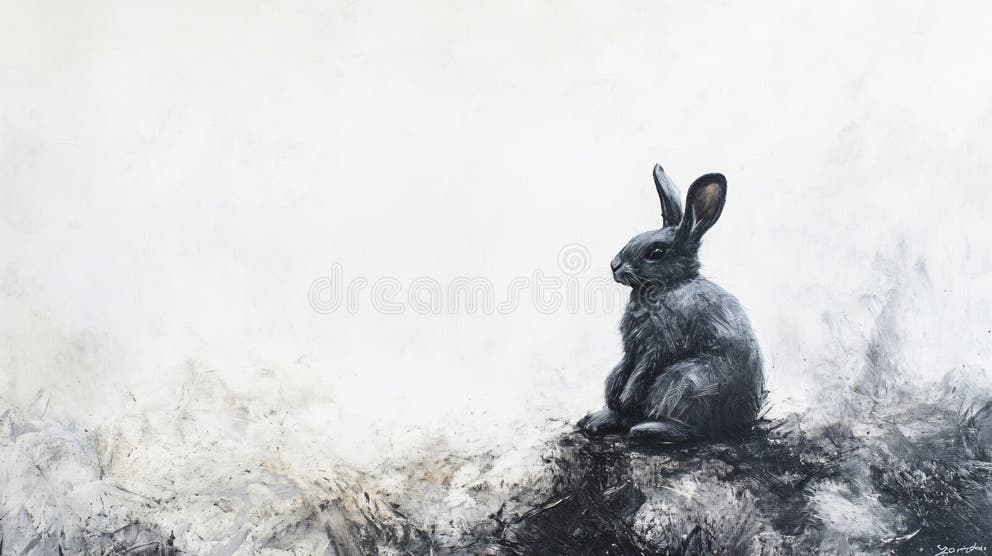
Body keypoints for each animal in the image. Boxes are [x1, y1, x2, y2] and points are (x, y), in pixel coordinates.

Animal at [578, 164, 765, 443]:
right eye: (634, 238)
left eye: (656, 252)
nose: (614, 265)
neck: (669, 286)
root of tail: (739, 422)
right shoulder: (632, 349)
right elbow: (627, 367)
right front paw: (619, 399)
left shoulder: (660, 346)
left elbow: (642, 371)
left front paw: (626, 397)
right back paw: (599, 420)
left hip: (686, 381)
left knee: (692, 430)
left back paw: (648, 429)